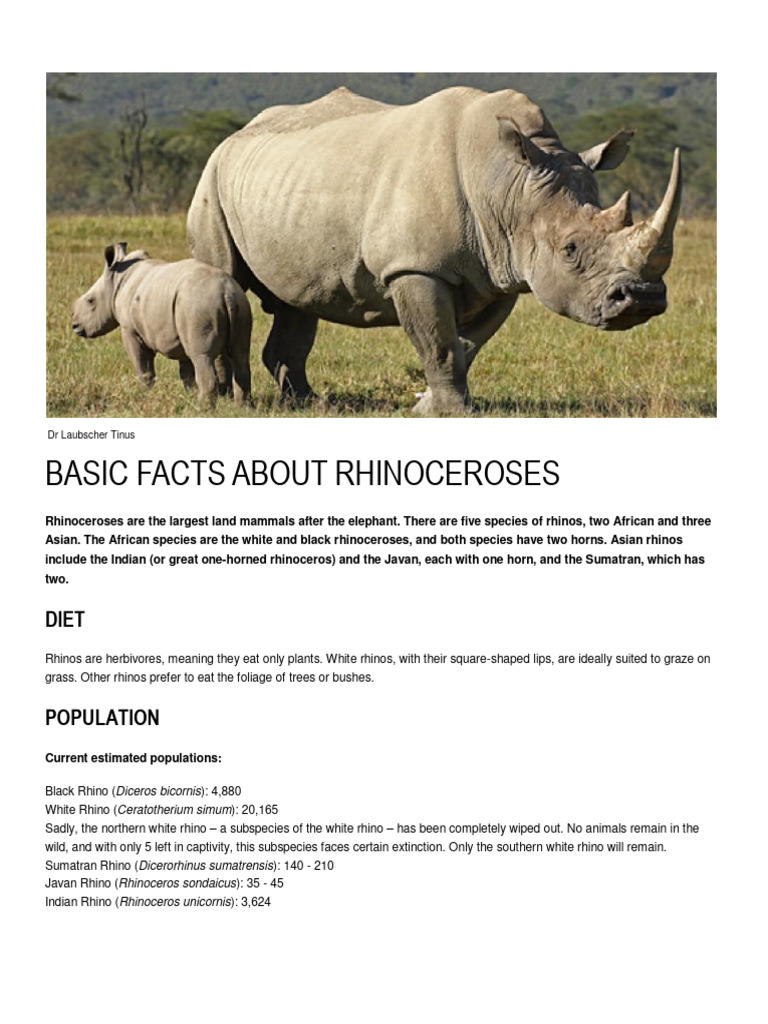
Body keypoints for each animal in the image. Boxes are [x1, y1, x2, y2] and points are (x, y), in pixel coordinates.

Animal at [72, 244, 252, 404]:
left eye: (90, 301)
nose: (75, 326)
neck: (117, 282)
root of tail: (226, 292)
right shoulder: (179, 330)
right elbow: (186, 373)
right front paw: (189, 398)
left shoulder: (130, 330)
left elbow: (143, 368)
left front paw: (143, 396)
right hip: (238, 303)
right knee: (241, 355)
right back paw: (242, 409)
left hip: (199, 305)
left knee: (202, 356)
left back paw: (203, 409)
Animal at [187, 86, 682, 415]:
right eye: (570, 249)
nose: (642, 299)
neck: (507, 186)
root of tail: (238, 133)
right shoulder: (415, 268)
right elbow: (439, 341)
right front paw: (452, 412)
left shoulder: (502, 269)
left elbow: (465, 342)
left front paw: (429, 403)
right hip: (212, 178)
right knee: (223, 279)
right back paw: (226, 400)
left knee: (299, 299)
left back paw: (309, 403)